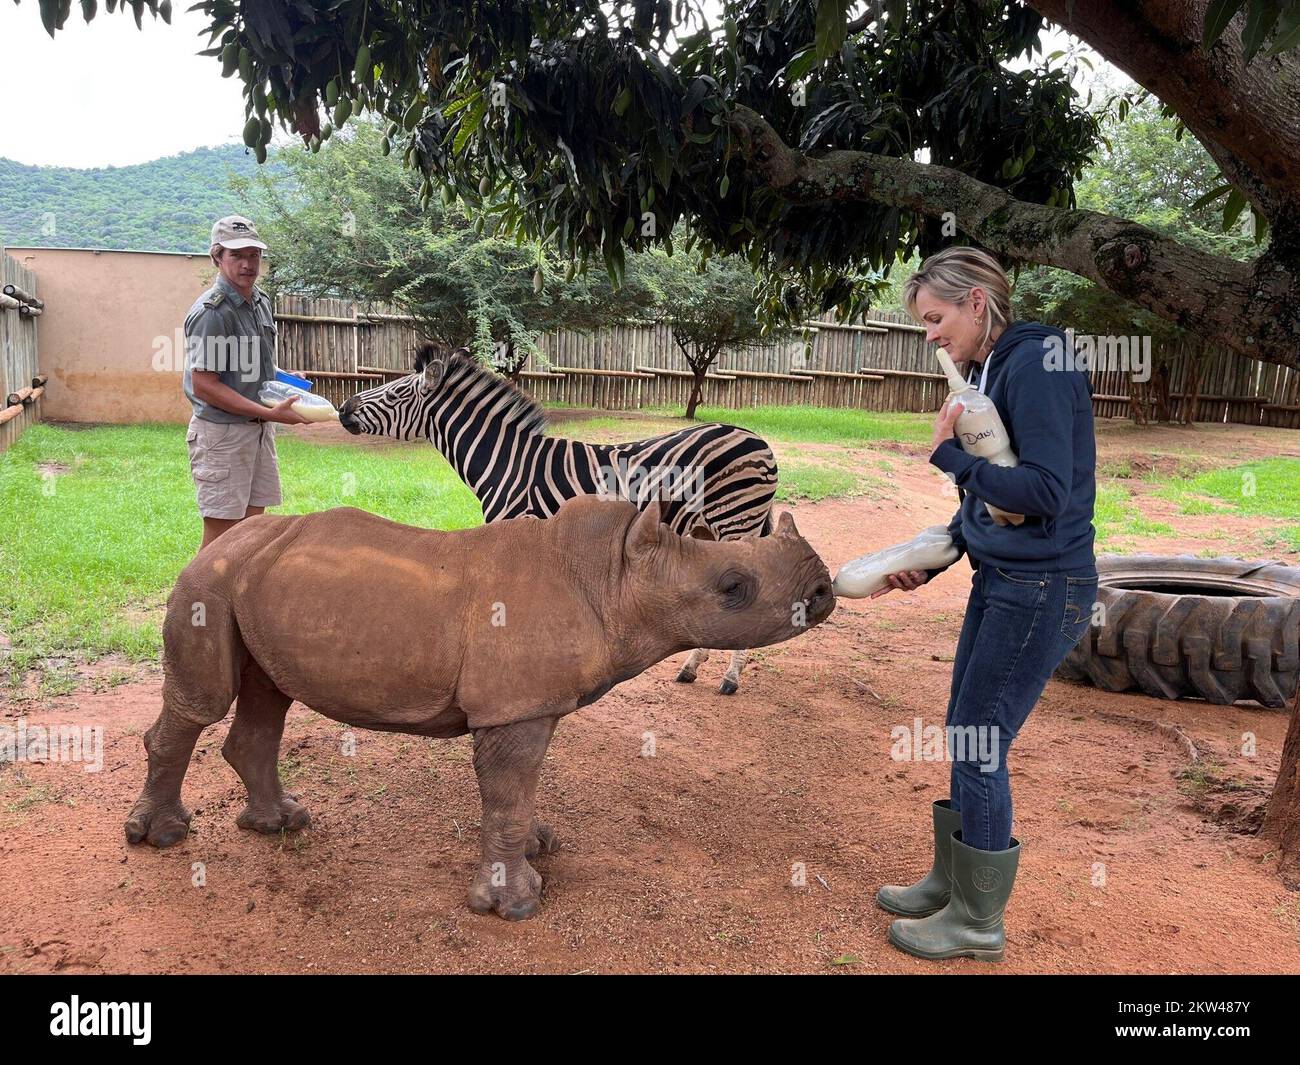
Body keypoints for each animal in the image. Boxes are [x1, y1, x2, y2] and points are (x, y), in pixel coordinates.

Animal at [337, 343, 780, 694]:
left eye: (396, 392)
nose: (342, 408)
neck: (507, 462)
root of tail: (757, 439)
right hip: (712, 526)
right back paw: (692, 667)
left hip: (735, 521)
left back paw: (730, 678)